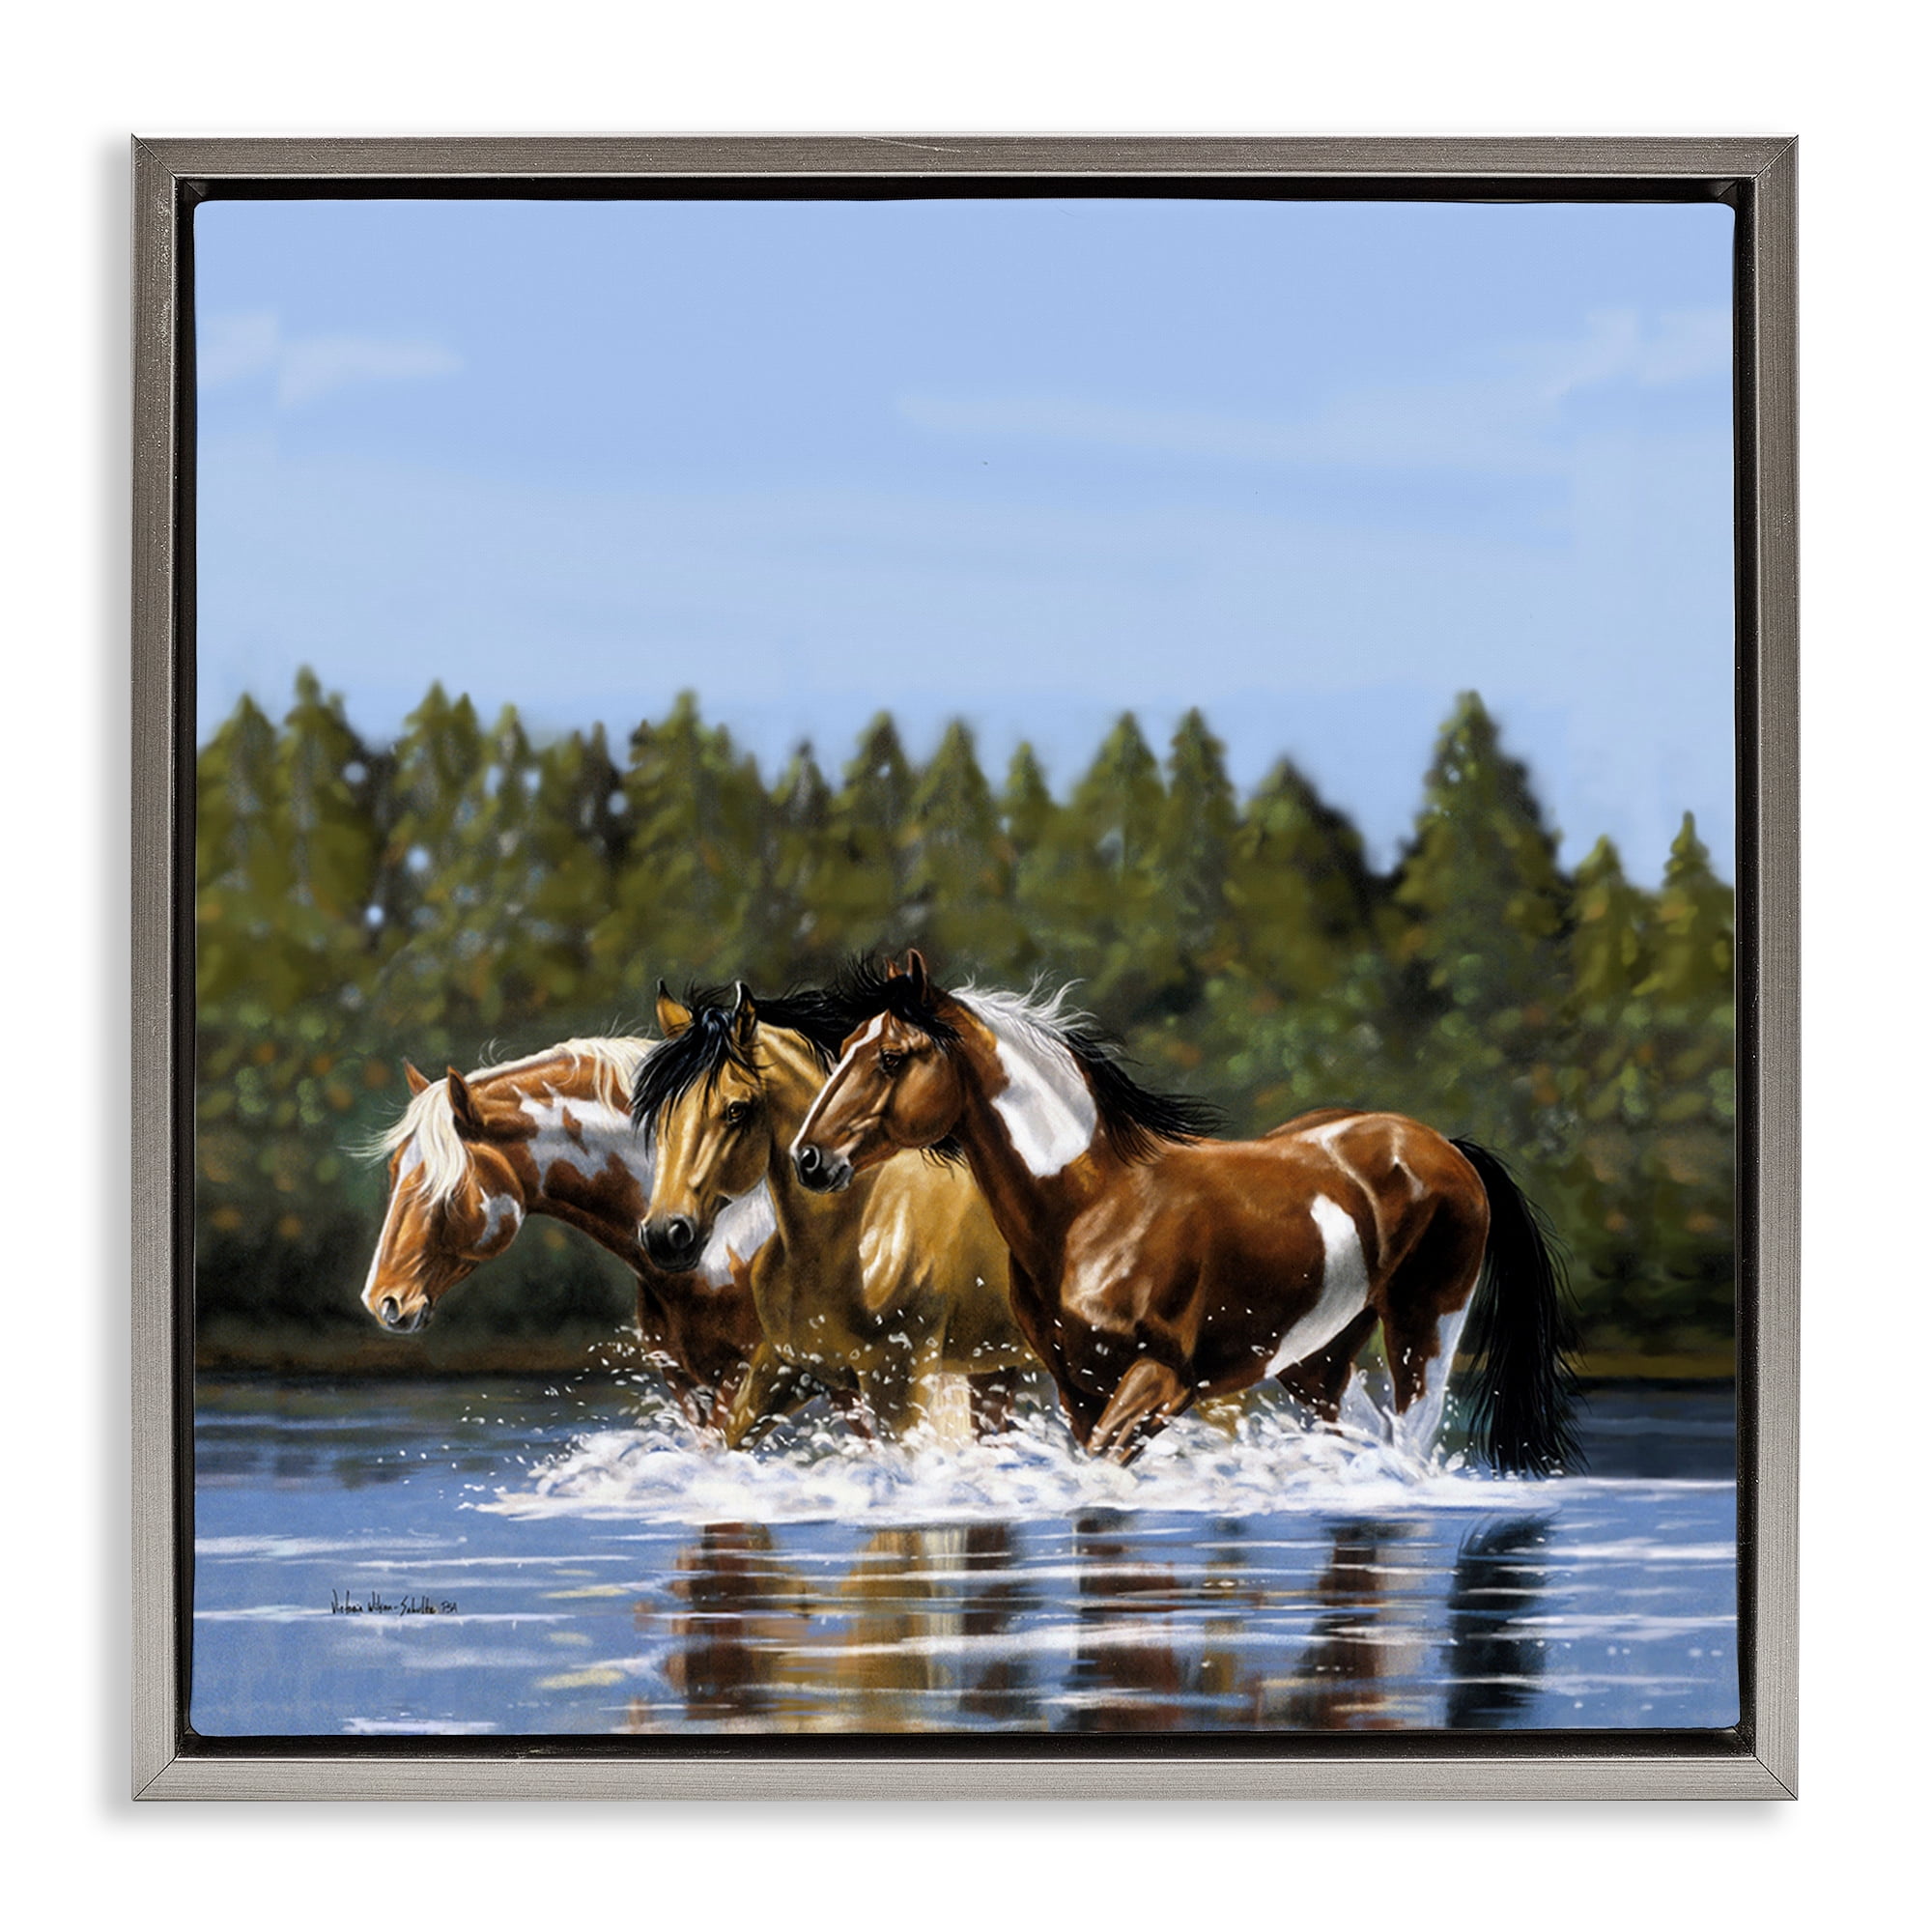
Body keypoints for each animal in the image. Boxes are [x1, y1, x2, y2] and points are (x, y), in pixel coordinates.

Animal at [358, 1036, 776, 1430]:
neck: (725, 1238)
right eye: (395, 1171)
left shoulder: (744, 1381)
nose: (382, 1299)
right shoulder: (687, 1381)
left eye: (450, 1189)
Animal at [633, 983, 1036, 1447]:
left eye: (736, 1109)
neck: (853, 1233)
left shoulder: (895, 1382)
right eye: (663, 1113)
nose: (665, 1234)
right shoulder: (783, 1367)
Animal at [790, 953, 1580, 1473]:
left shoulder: (1161, 1383)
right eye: (850, 1046)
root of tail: (1442, 1146)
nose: (809, 1158)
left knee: (1410, 1437)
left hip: (1426, 1330)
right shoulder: (1080, 1389)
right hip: (1316, 1359)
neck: (1093, 1208)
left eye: (893, 1057)